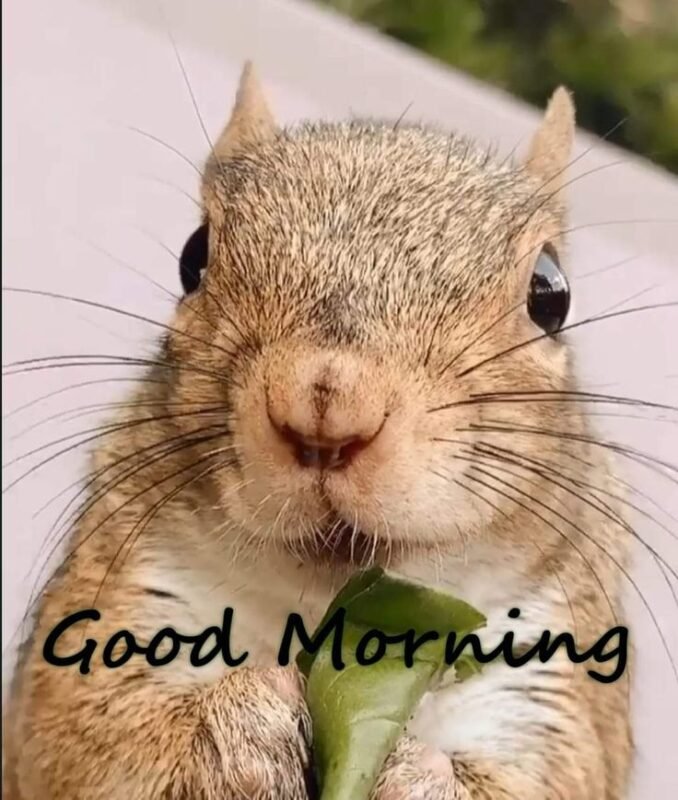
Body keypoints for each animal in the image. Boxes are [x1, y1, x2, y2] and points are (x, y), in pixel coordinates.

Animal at [4, 63, 632, 799]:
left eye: (550, 293)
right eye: (194, 256)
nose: (328, 408)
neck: (318, 613)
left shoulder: (553, 680)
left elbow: (549, 782)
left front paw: (417, 773)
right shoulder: (119, 594)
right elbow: (77, 737)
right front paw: (233, 728)